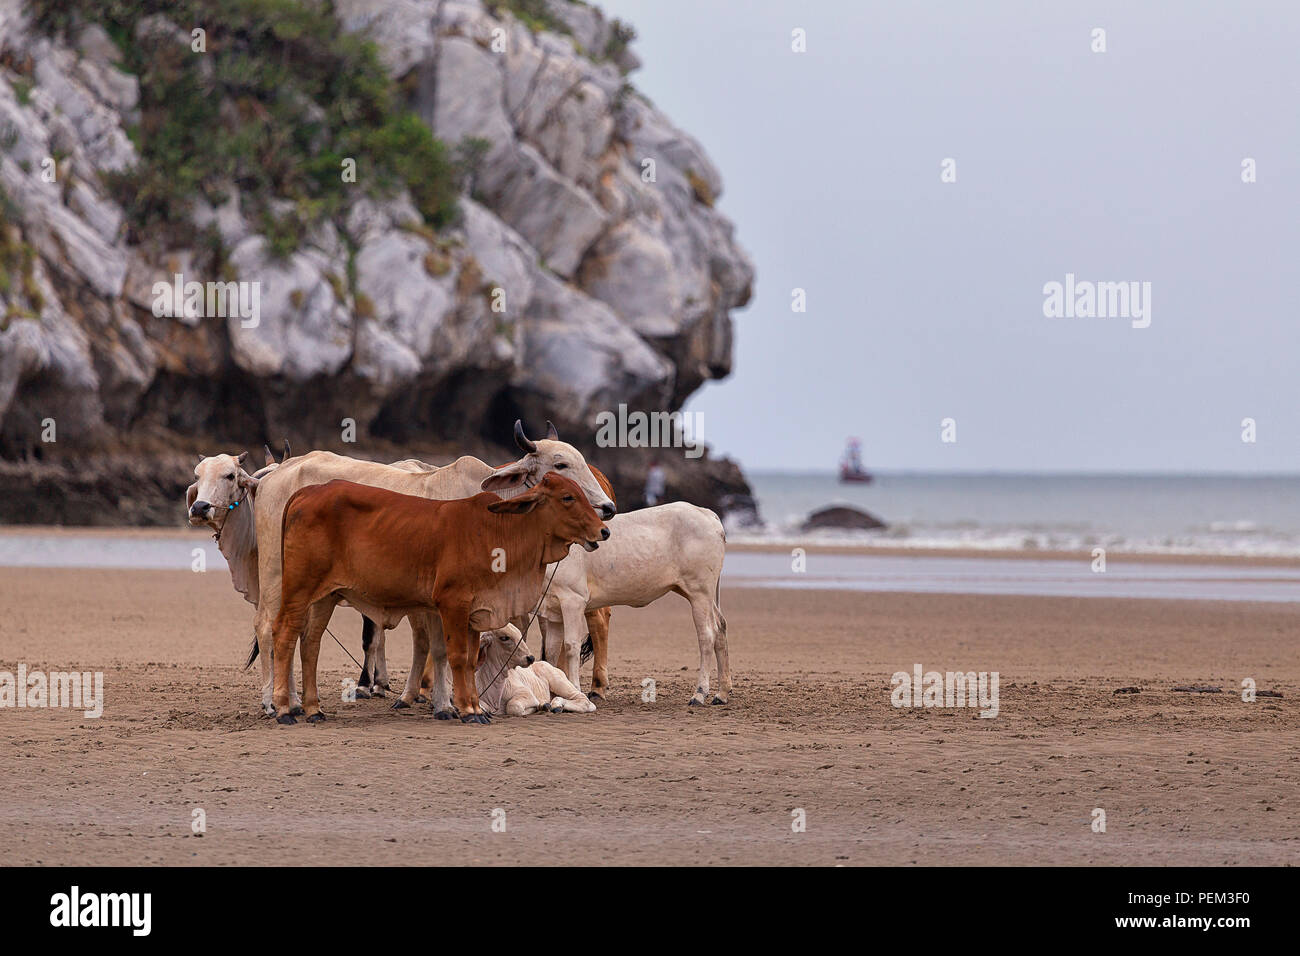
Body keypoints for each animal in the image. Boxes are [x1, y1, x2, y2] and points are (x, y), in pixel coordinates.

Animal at [240, 420, 615, 718]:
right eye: (560, 464)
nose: (608, 508)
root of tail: (276, 477)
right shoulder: (448, 599)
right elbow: (448, 651)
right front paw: (450, 703)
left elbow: (442, 649)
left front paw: (443, 703)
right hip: (279, 578)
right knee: (269, 627)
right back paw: (276, 703)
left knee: (300, 634)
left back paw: (299, 702)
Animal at [537, 502, 730, 706]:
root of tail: (706, 513)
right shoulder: (553, 611)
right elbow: (550, 651)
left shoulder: (573, 601)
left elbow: (571, 646)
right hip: (699, 595)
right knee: (720, 627)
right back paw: (722, 693)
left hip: (700, 594)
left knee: (707, 635)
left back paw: (700, 693)